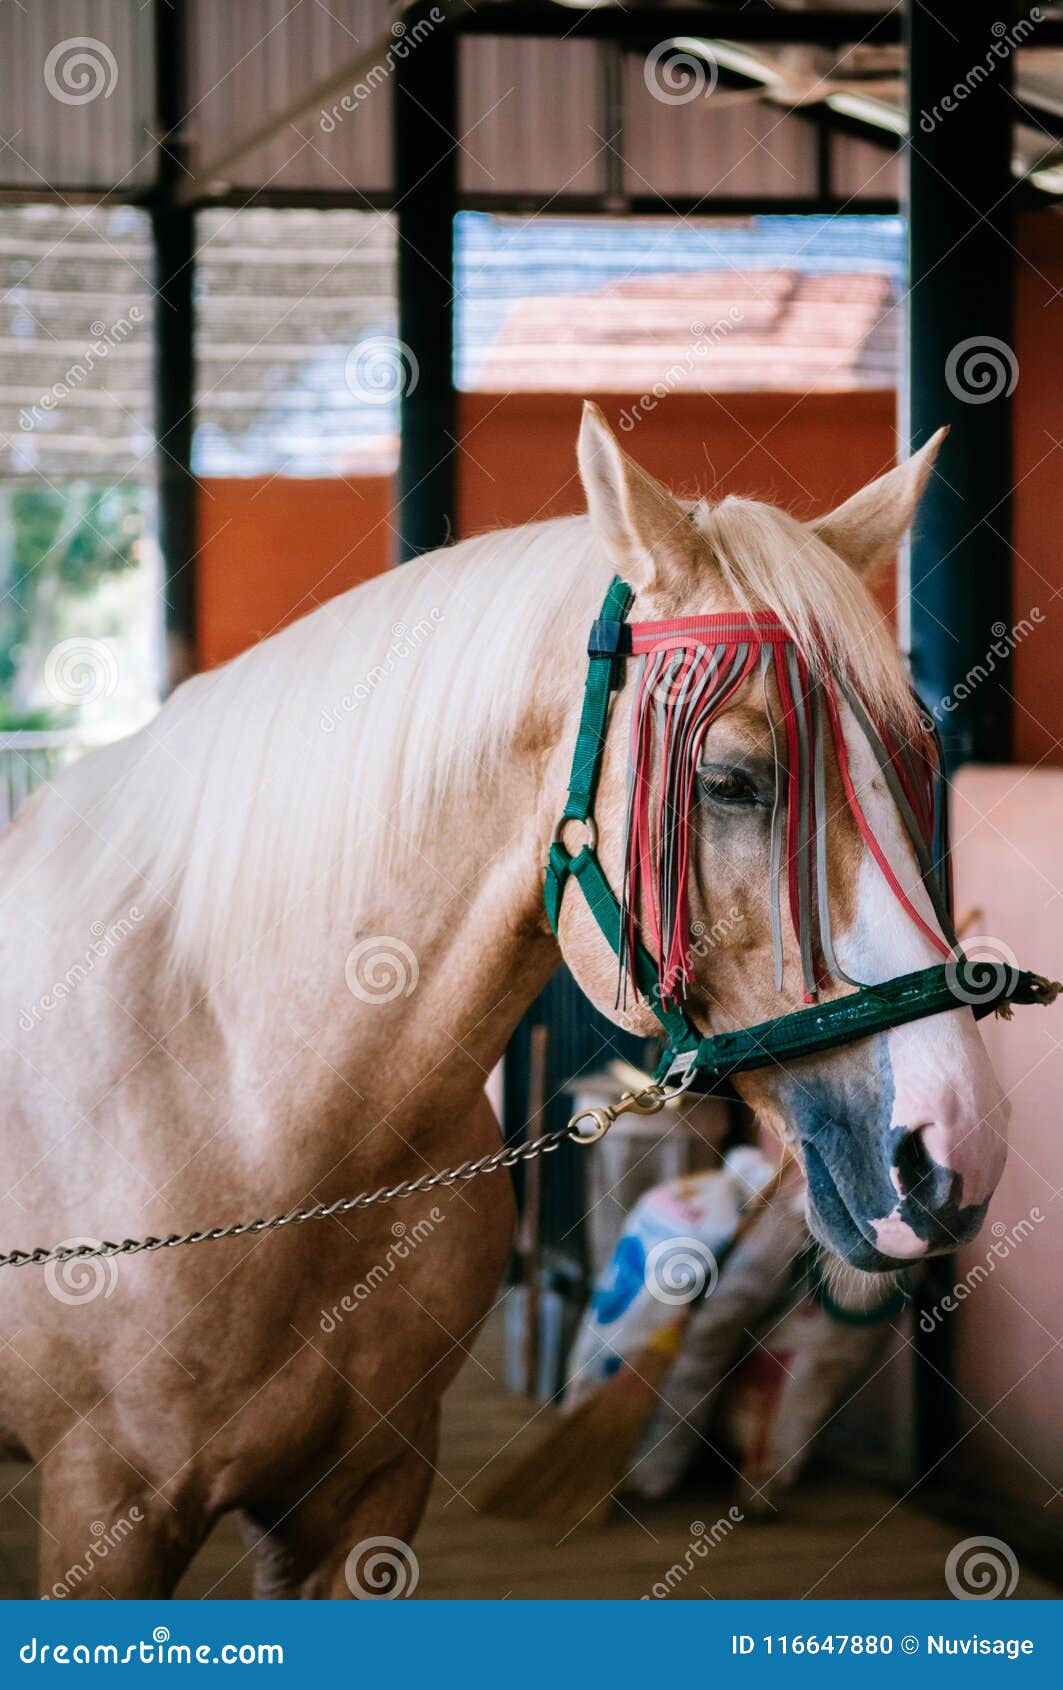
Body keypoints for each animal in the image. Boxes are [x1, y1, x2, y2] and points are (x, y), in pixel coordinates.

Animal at [0, 403, 1008, 1597]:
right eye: (729, 782)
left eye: (915, 764)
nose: (954, 1144)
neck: (241, 1101)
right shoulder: (109, 1510)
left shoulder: (366, 1490)